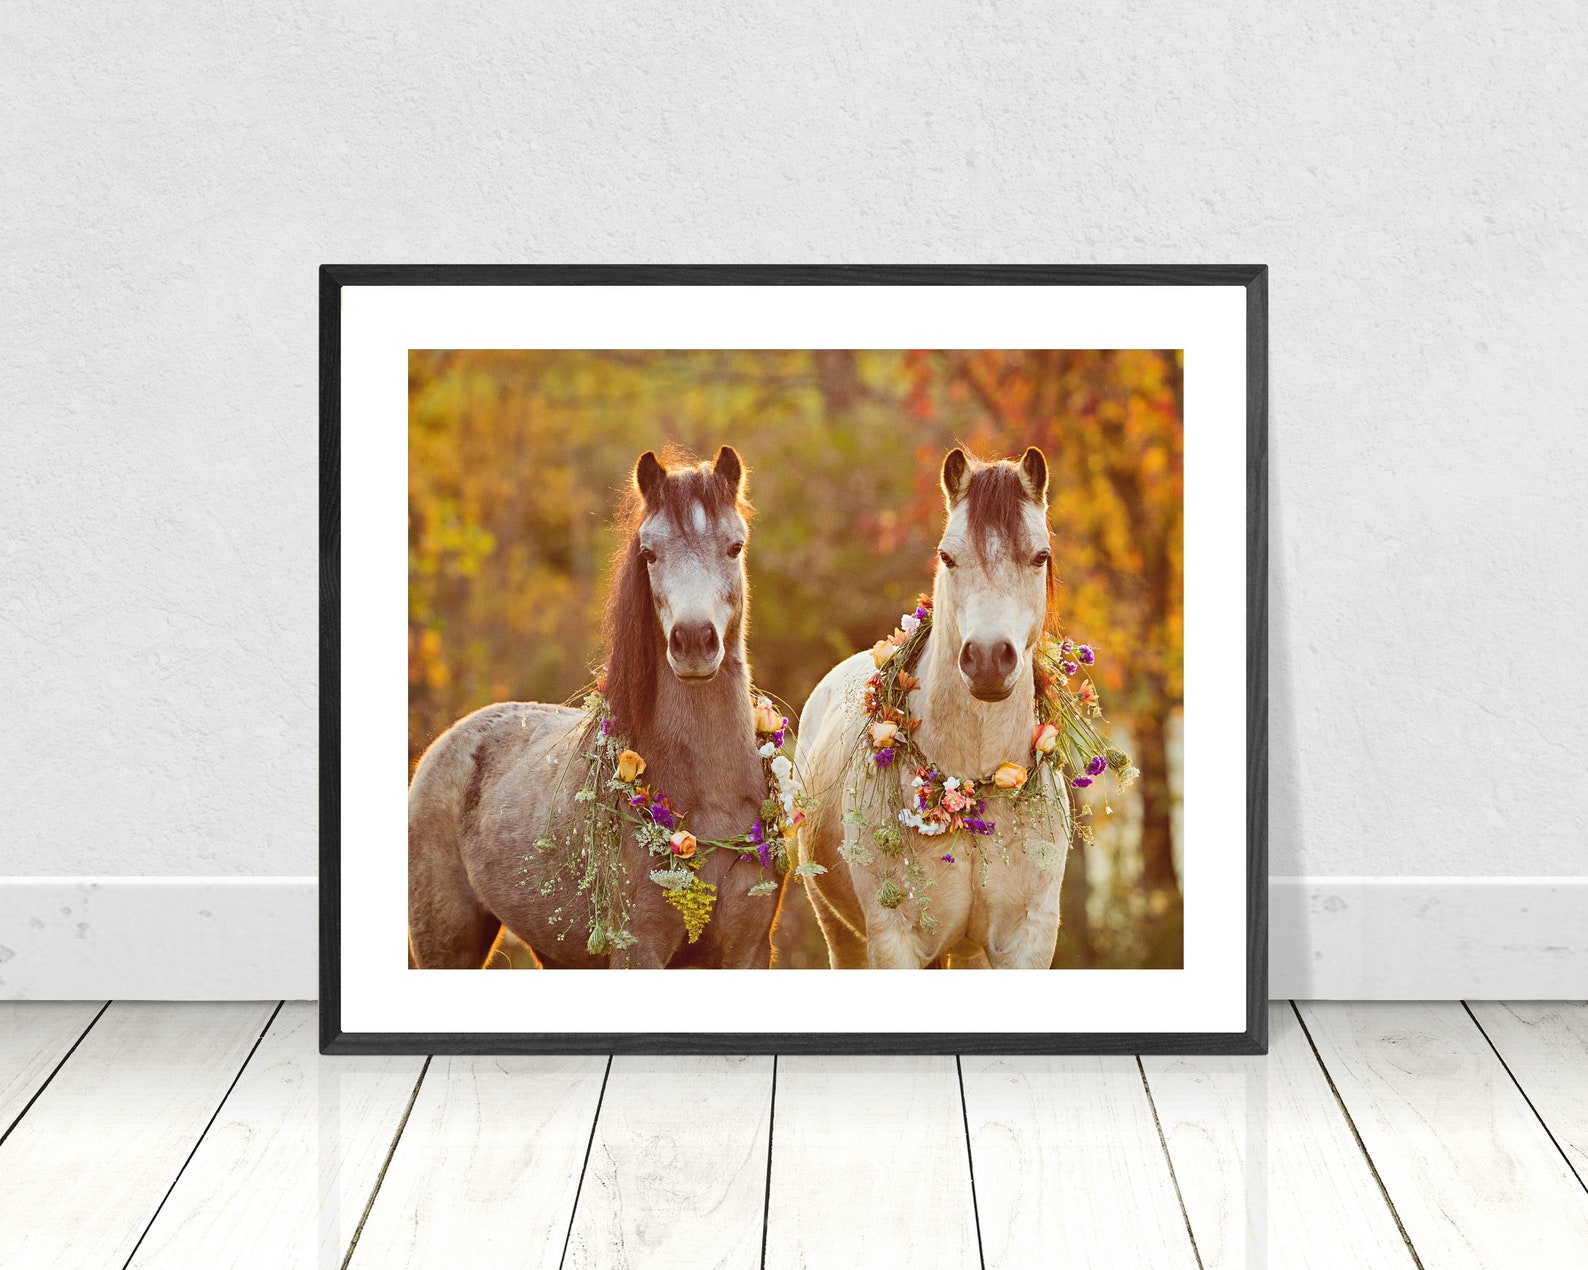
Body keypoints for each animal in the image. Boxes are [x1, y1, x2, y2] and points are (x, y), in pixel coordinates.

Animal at [407, 445, 784, 968]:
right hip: (448, 947)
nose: (693, 642)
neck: (712, 799)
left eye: (735, 547)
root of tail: (447, 743)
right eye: (648, 553)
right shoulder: (637, 951)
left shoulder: (748, 952)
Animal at [796, 446, 1072, 969]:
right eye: (948, 556)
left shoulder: (1025, 942)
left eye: (1040, 556)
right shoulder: (894, 943)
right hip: (840, 933)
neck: (973, 780)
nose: (988, 659)